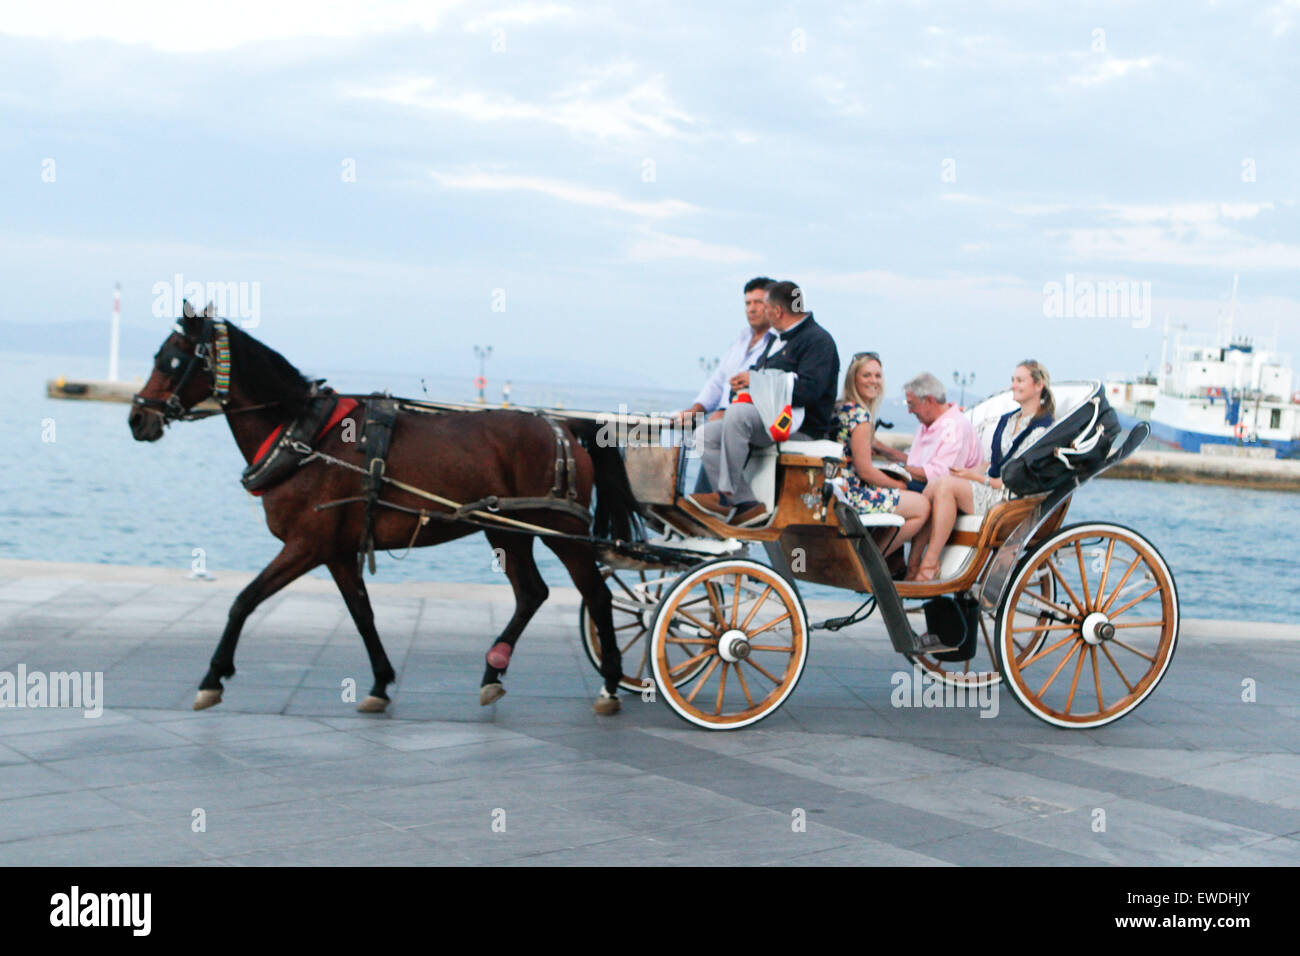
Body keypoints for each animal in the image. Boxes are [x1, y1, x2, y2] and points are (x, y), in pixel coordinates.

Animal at [128, 302, 634, 716]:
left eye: (171, 361)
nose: (137, 418)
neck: (302, 435)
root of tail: (565, 425)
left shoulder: (306, 545)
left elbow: (243, 601)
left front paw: (213, 677)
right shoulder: (336, 551)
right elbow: (362, 613)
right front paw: (380, 682)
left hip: (559, 529)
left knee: (596, 595)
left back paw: (611, 682)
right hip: (506, 528)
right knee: (531, 594)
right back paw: (494, 671)